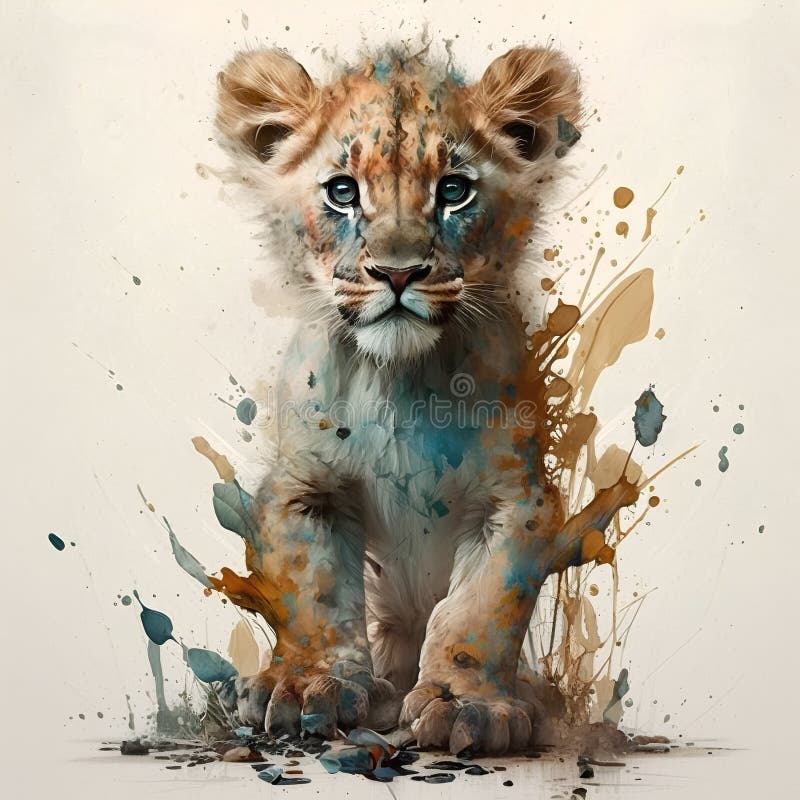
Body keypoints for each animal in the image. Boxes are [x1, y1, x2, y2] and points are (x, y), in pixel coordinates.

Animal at [209, 42, 639, 755]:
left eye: (454, 190)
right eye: (343, 191)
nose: (398, 272)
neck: (399, 382)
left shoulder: (517, 497)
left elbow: (478, 607)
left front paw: (469, 706)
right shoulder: (302, 485)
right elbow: (314, 589)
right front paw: (308, 685)